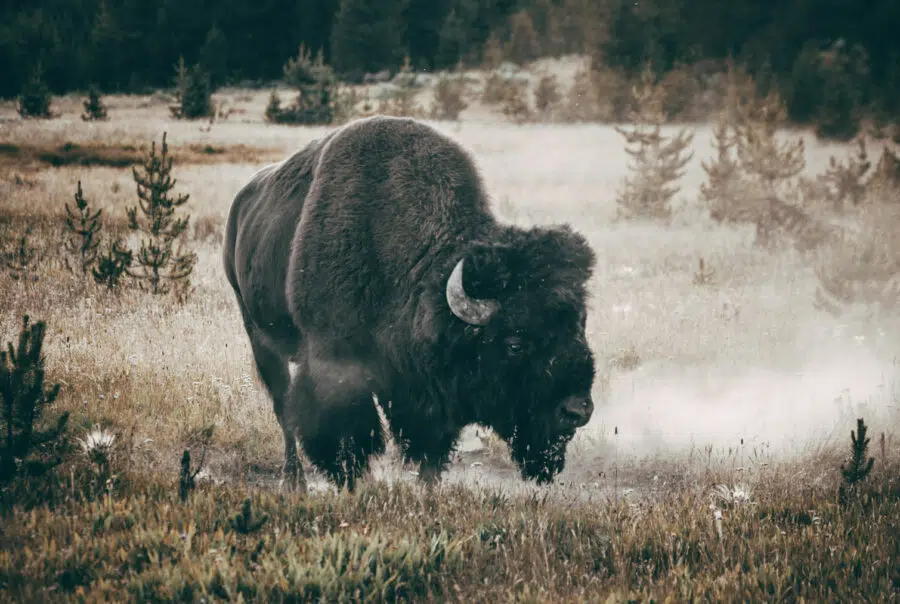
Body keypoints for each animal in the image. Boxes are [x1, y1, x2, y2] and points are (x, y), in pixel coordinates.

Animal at [223, 115, 597, 491]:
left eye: (579, 327)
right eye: (515, 343)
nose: (577, 411)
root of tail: (240, 208)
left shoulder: (424, 393)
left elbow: (430, 447)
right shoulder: (336, 367)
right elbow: (346, 437)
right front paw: (350, 484)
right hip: (258, 335)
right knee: (283, 409)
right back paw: (295, 480)